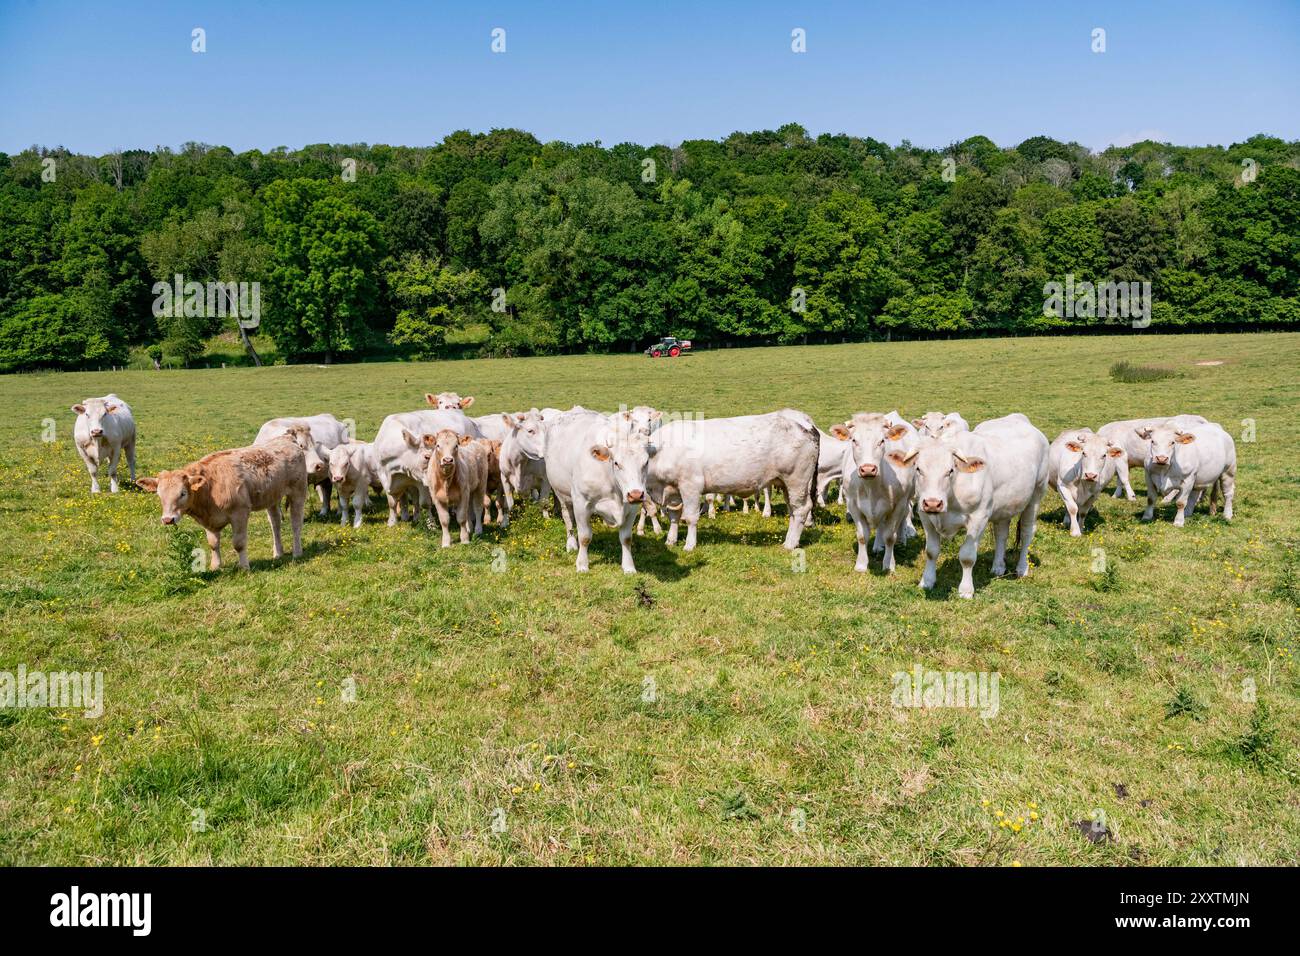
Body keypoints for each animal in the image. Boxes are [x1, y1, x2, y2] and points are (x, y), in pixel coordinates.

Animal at [136, 426, 310, 571]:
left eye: (182, 493)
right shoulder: (209, 520)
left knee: (296, 523)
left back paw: (297, 552)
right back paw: (278, 553)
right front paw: (215, 566)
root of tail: (287, 437)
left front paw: (244, 567)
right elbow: (213, 544)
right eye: (159, 494)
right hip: (272, 497)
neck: (210, 487)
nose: (167, 519)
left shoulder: (240, 513)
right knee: (275, 524)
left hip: (298, 492)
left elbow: (239, 543)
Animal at [544, 409, 657, 573]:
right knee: (568, 518)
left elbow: (626, 539)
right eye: (616, 463)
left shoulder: (632, 507)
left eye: (646, 462)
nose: (635, 494)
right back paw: (571, 543)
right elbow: (585, 537)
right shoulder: (581, 503)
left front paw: (629, 567)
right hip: (561, 493)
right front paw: (582, 564)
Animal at [646, 409, 819, 552]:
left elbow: (691, 517)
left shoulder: (691, 486)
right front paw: (671, 540)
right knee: (792, 511)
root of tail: (802, 419)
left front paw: (689, 545)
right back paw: (789, 541)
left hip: (797, 481)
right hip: (785, 484)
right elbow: (674, 515)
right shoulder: (673, 490)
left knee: (801, 509)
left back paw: (790, 544)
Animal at [831, 412, 918, 573]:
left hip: (907, 497)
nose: (867, 469)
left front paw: (889, 564)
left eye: (882, 440)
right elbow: (862, 536)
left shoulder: (898, 504)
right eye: (854, 440)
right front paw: (861, 565)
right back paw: (878, 545)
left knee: (904, 516)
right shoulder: (853, 504)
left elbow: (890, 536)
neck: (871, 487)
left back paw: (902, 539)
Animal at [914, 413, 1049, 599]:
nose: (933, 503)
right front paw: (927, 581)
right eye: (918, 469)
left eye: (950, 470)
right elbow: (931, 551)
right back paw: (998, 566)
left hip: (1036, 495)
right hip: (1004, 506)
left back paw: (1022, 568)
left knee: (1027, 532)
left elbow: (967, 556)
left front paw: (966, 590)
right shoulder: (925, 516)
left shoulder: (979, 517)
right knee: (1001, 534)